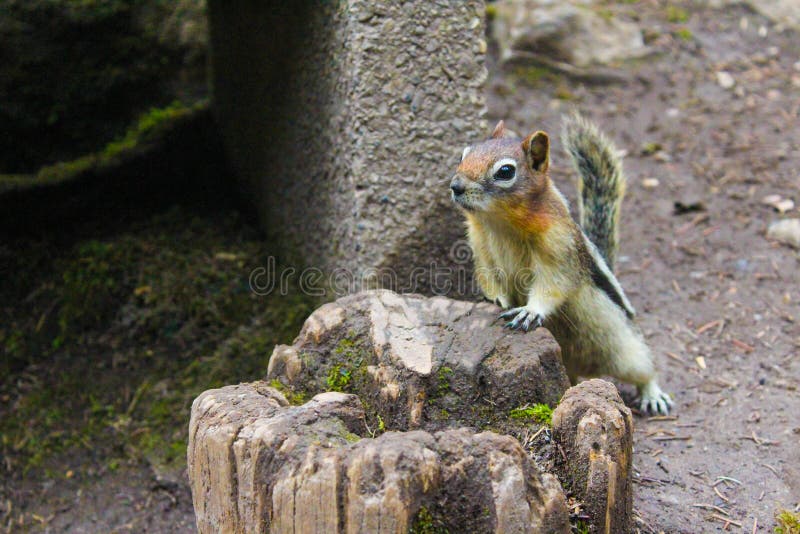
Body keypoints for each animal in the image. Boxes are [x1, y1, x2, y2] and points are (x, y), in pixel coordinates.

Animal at [450, 113, 673, 415]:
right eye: (464, 154)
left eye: (505, 171)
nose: (456, 186)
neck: (499, 222)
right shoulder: (480, 246)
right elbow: (488, 276)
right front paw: (495, 299)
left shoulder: (559, 246)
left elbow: (554, 283)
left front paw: (530, 311)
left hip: (624, 350)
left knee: (644, 367)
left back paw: (653, 394)